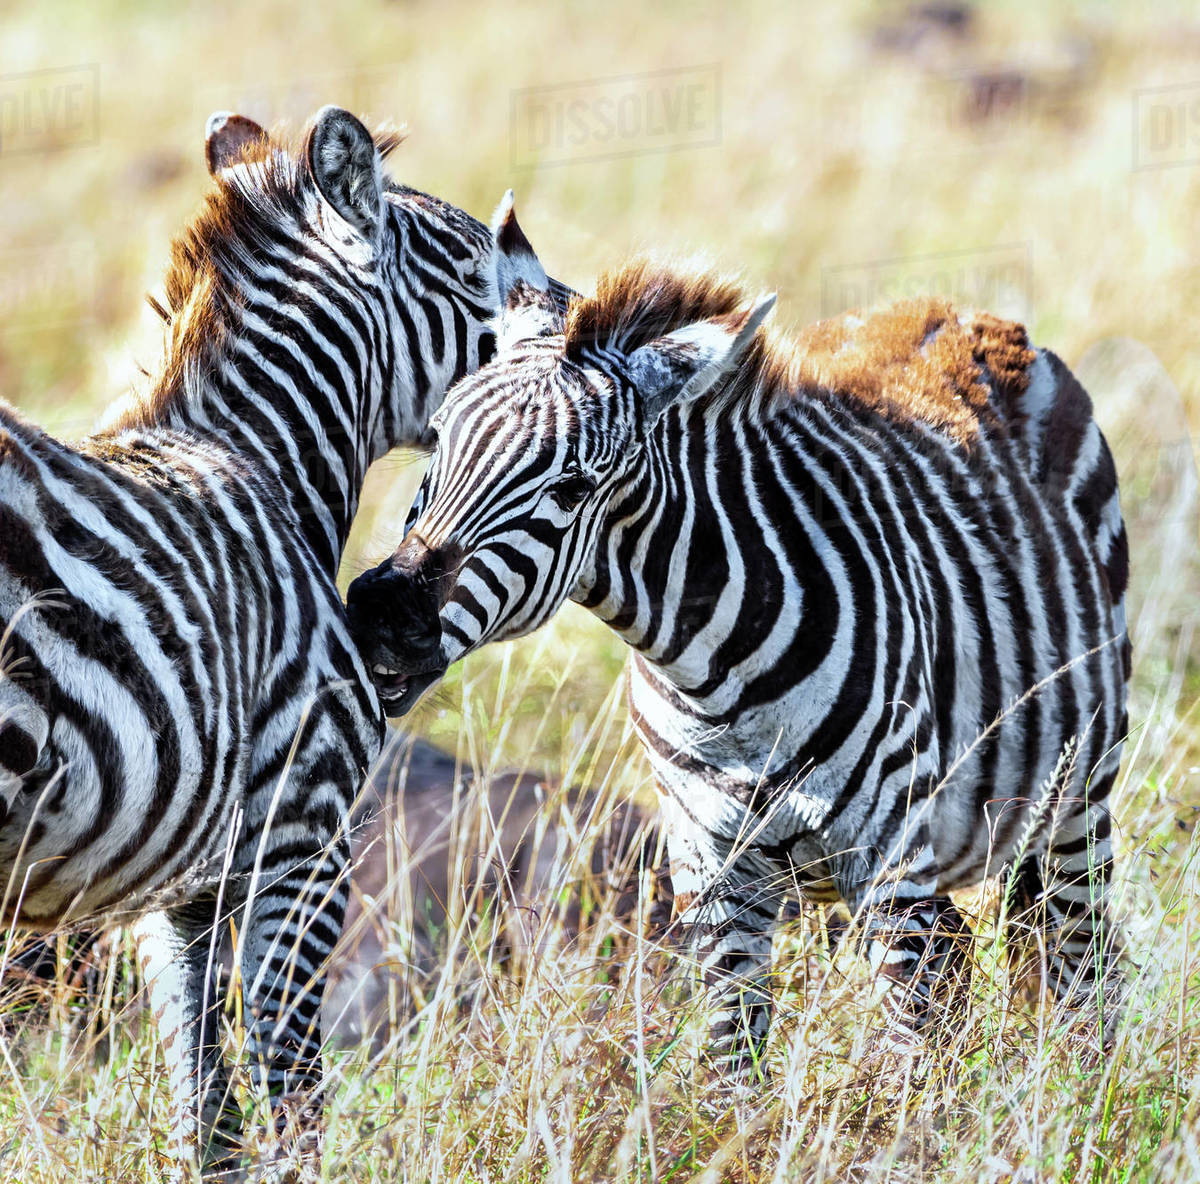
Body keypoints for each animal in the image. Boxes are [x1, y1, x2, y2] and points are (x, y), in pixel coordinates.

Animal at [0, 106, 525, 1177]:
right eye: (480, 268)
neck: (268, 466)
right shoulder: (306, 841)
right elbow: (292, 1097)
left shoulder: (182, 896)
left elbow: (206, 1116)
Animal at [345, 200, 1132, 1070]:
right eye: (439, 436)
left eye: (574, 485)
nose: (381, 618)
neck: (717, 683)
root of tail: (964, 313)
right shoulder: (712, 874)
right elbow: (732, 1063)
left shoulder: (890, 863)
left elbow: (907, 1059)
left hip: (1075, 793)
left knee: (1083, 959)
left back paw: (1084, 1089)